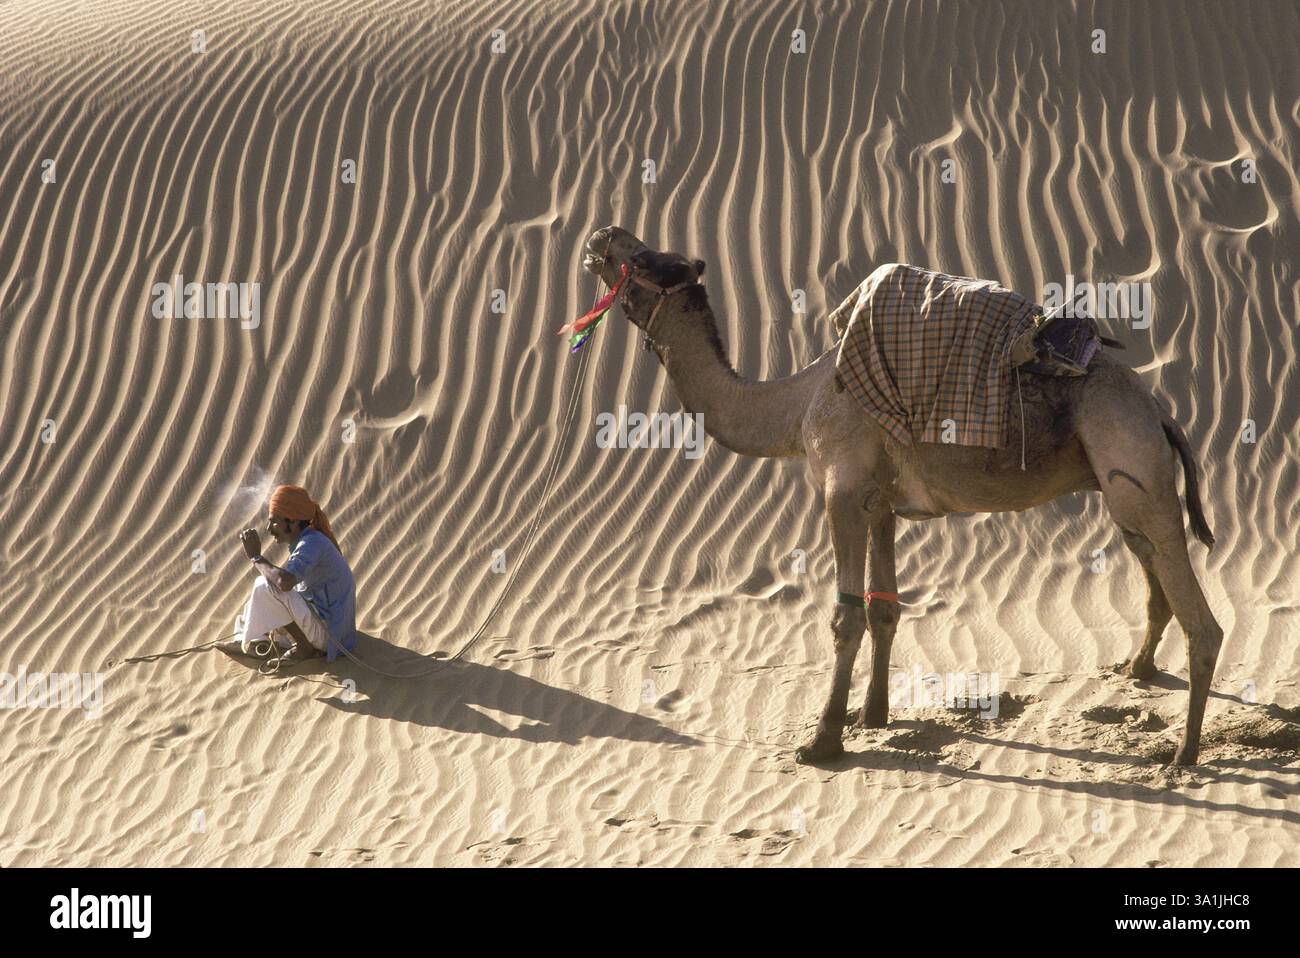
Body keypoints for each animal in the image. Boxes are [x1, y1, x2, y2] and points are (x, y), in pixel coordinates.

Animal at [580, 226, 1221, 766]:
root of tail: (1158, 411)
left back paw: (1183, 755)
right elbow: (883, 608)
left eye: (643, 259)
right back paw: (1137, 672)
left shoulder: (839, 492)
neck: (795, 407)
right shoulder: (879, 504)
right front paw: (874, 716)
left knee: (1198, 612)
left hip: (1131, 458)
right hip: (1121, 481)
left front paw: (822, 742)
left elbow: (846, 618)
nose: (601, 236)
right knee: (1149, 559)